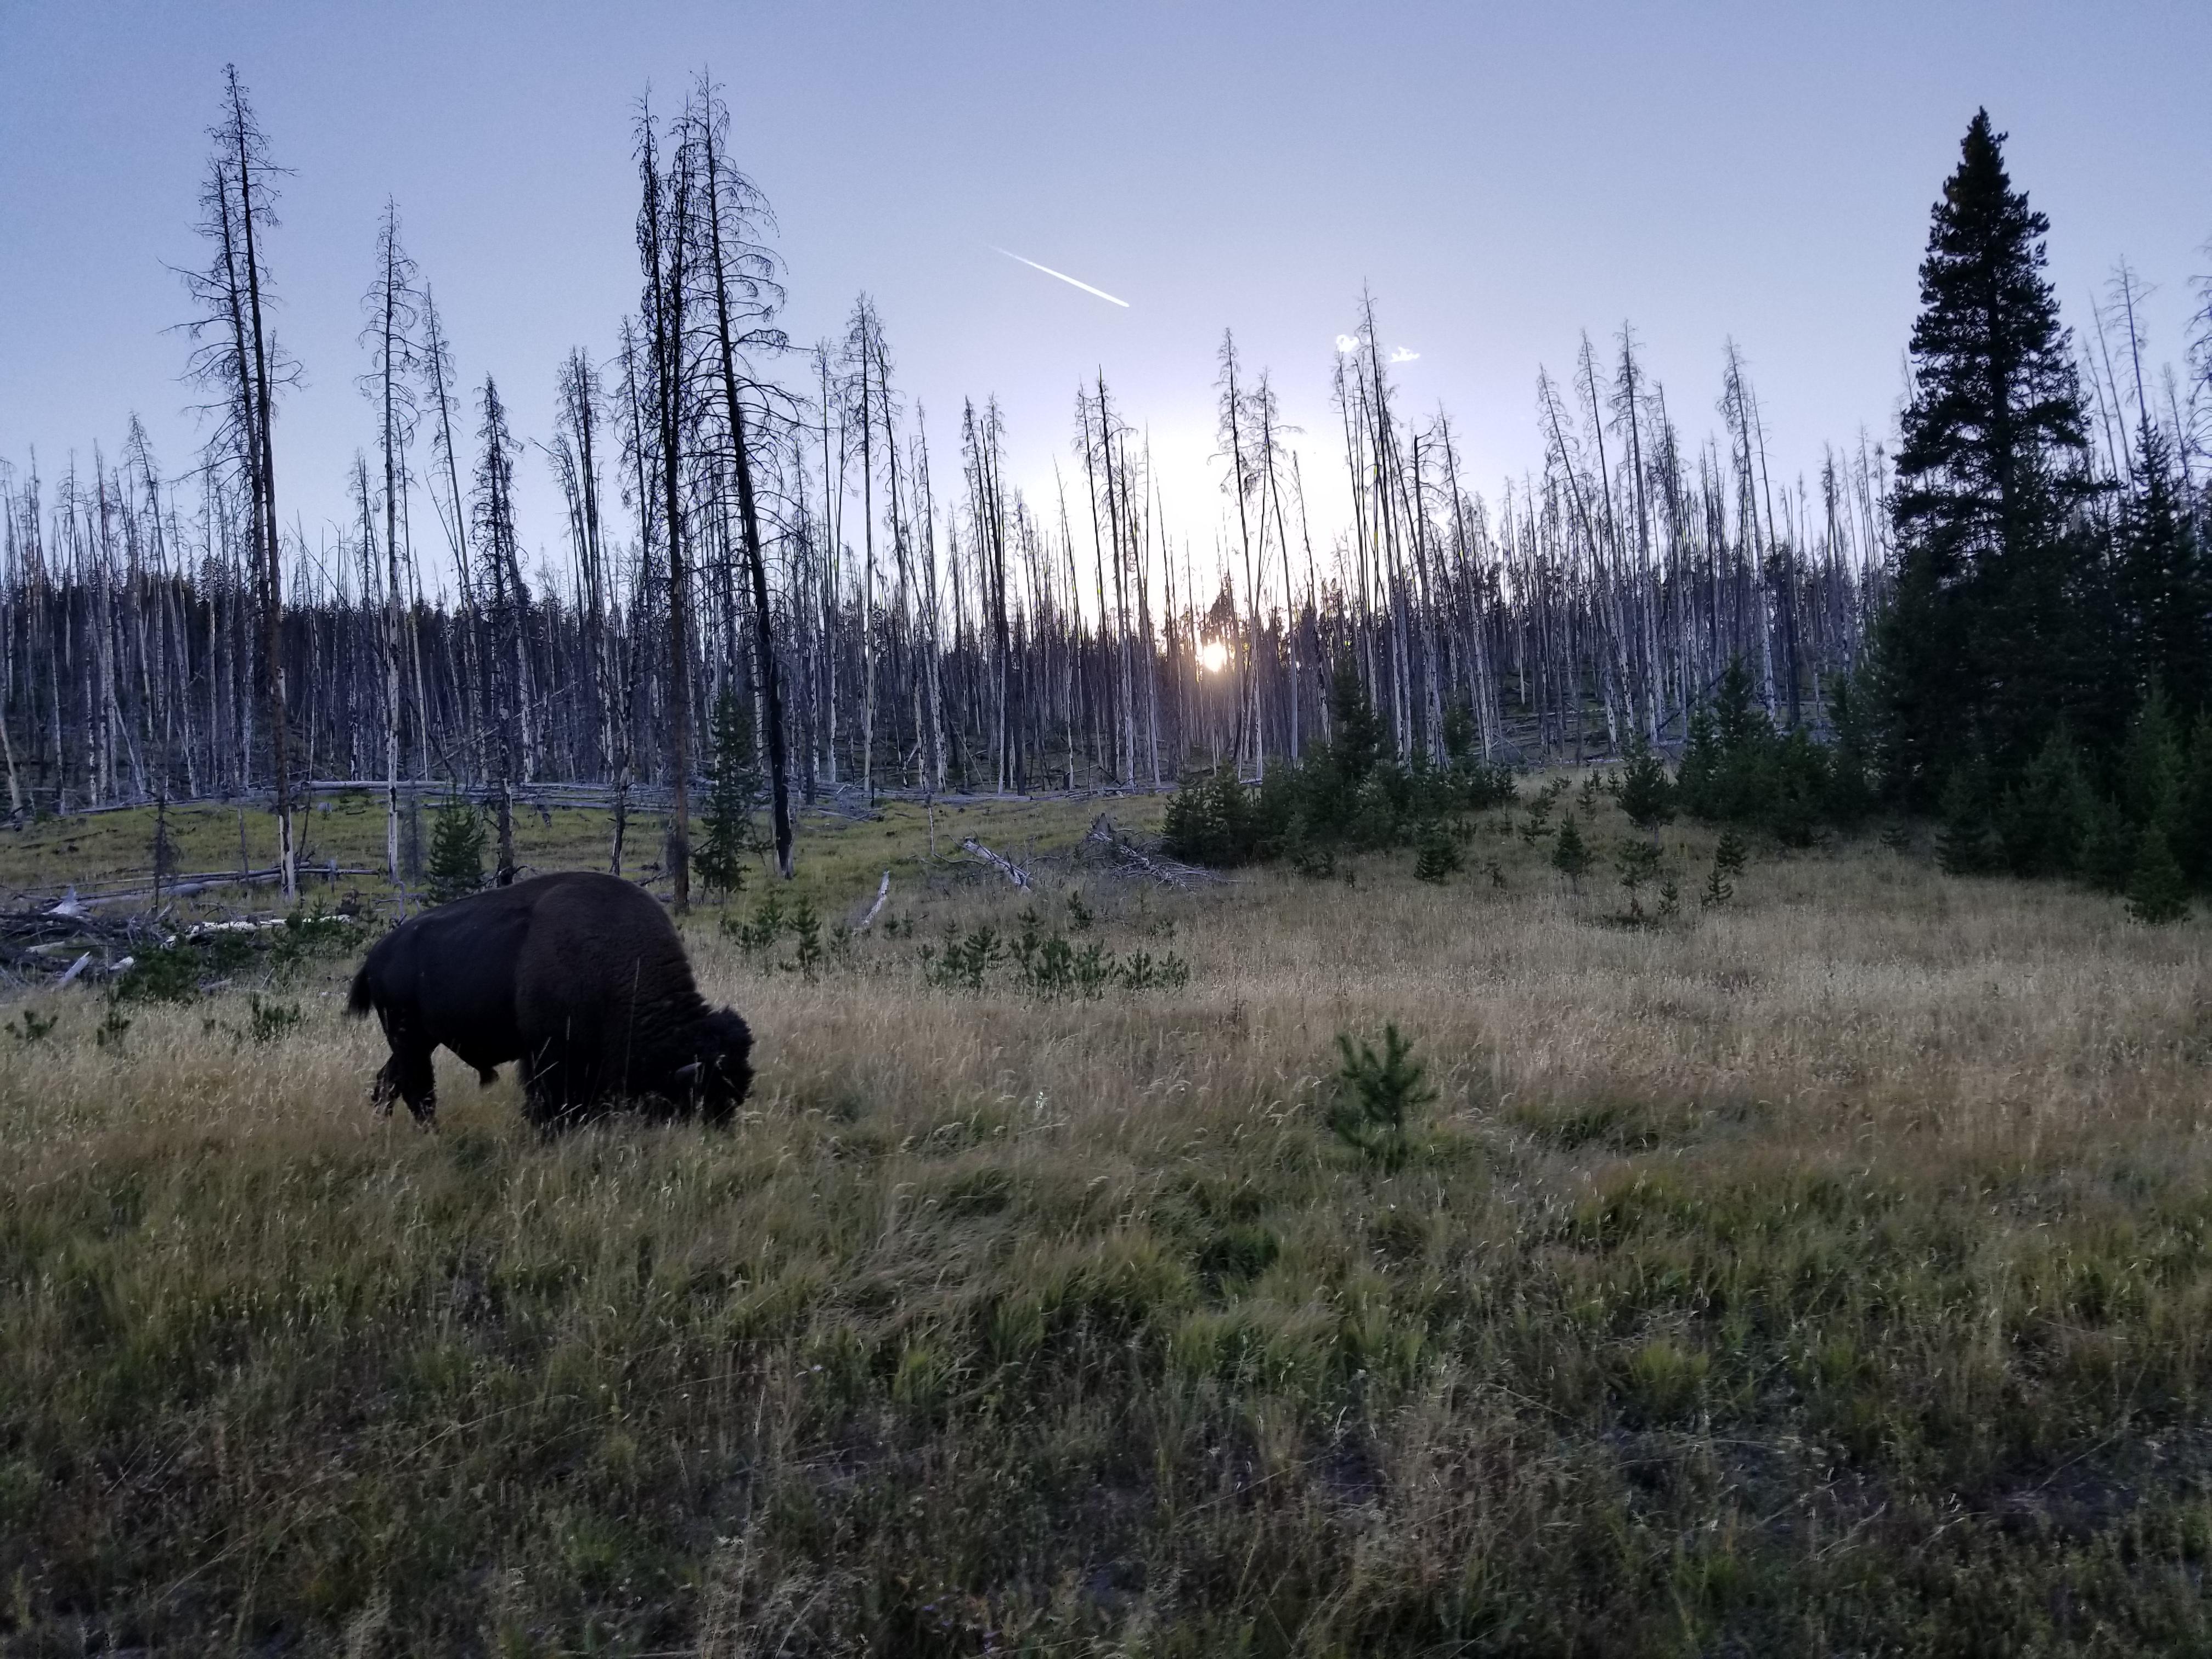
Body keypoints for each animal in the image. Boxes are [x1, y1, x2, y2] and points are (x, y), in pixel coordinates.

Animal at [346, 870, 753, 1130]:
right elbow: (550, 1102)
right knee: (418, 1090)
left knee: (390, 1081)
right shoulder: (549, 1054)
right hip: (410, 1038)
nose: (721, 1129)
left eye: (738, 1092)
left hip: (419, 1040)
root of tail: (375, 955)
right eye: (699, 1094)